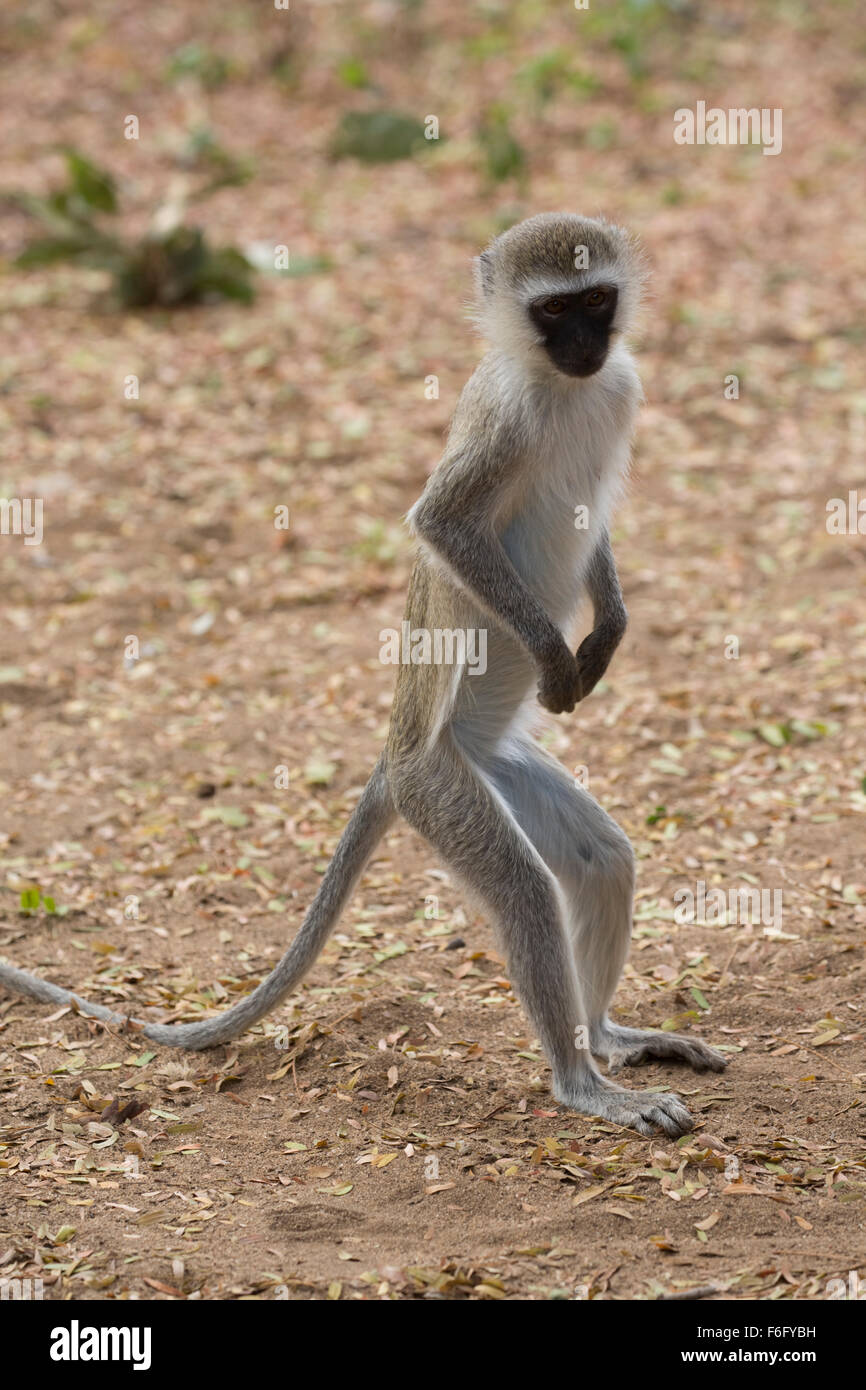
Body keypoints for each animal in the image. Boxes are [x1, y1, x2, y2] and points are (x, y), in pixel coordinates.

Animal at [0, 212, 726, 1136]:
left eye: (597, 299)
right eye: (554, 311)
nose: (587, 345)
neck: (559, 387)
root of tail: (399, 752)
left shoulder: (620, 387)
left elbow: (593, 528)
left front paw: (609, 633)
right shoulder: (502, 423)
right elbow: (441, 524)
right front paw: (556, 654)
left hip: (493, 765)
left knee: (603, 861)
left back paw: (607, 1038)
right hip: (438, 785)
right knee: (526, 890)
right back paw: (583, 1082)